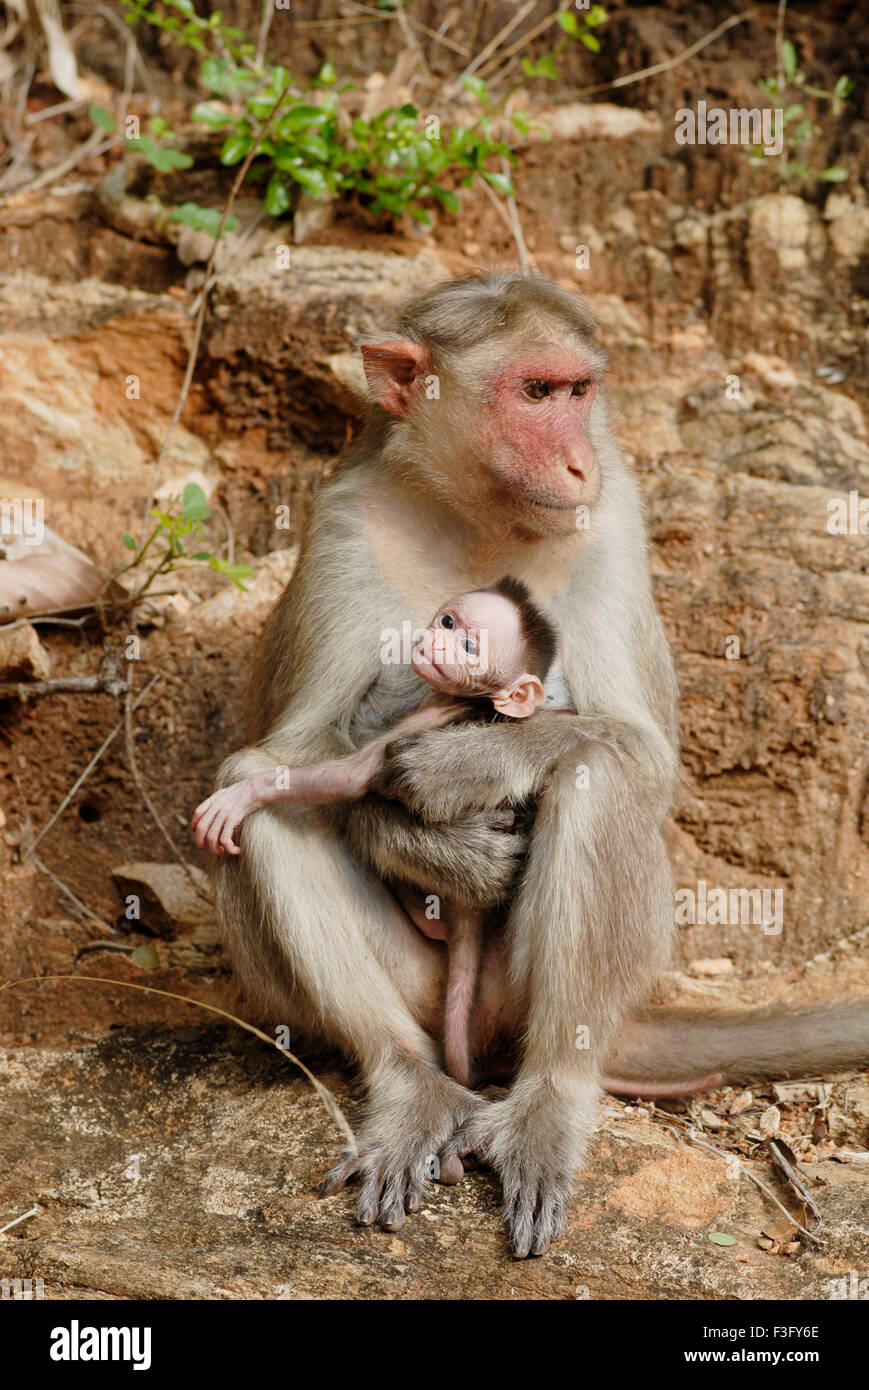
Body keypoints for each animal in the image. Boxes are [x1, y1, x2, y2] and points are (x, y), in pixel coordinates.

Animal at [194, 576, 562, 1090]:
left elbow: (351, 776)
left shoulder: (429, 716)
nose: (439, 640)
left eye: (470, 647)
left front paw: (242, 795)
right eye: (449, 621)